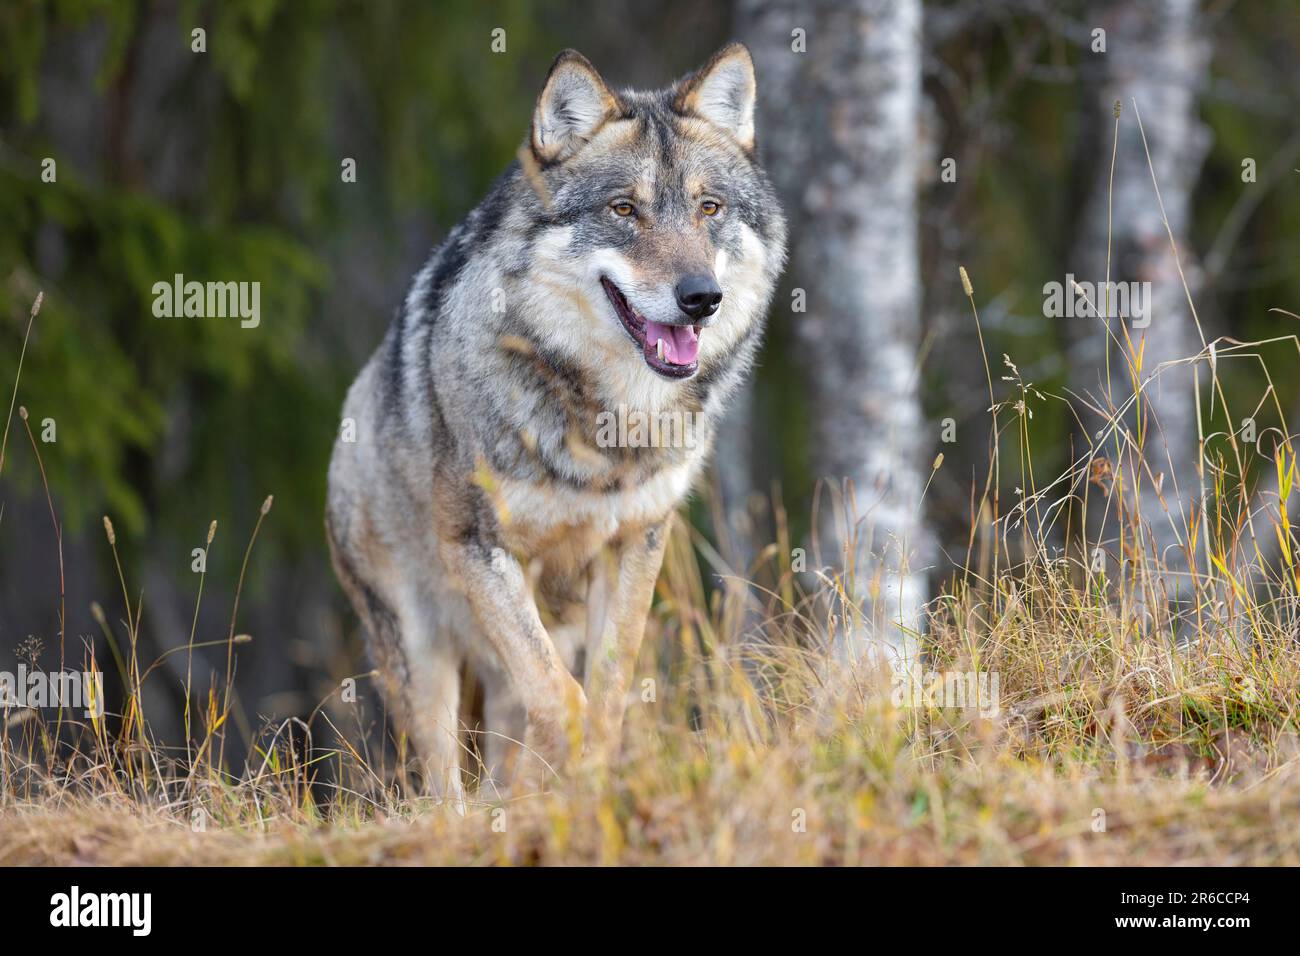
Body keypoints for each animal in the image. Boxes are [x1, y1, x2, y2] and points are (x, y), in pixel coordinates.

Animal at [326, 42, 786, 796]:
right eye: (625, 209)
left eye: (709, 208)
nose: (701, 298)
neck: (606, 428)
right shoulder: (479, 549)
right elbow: (560, 695)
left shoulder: (636, 544)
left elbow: (606, 691)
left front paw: (591, 781)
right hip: (422, 653)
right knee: (442, 780)